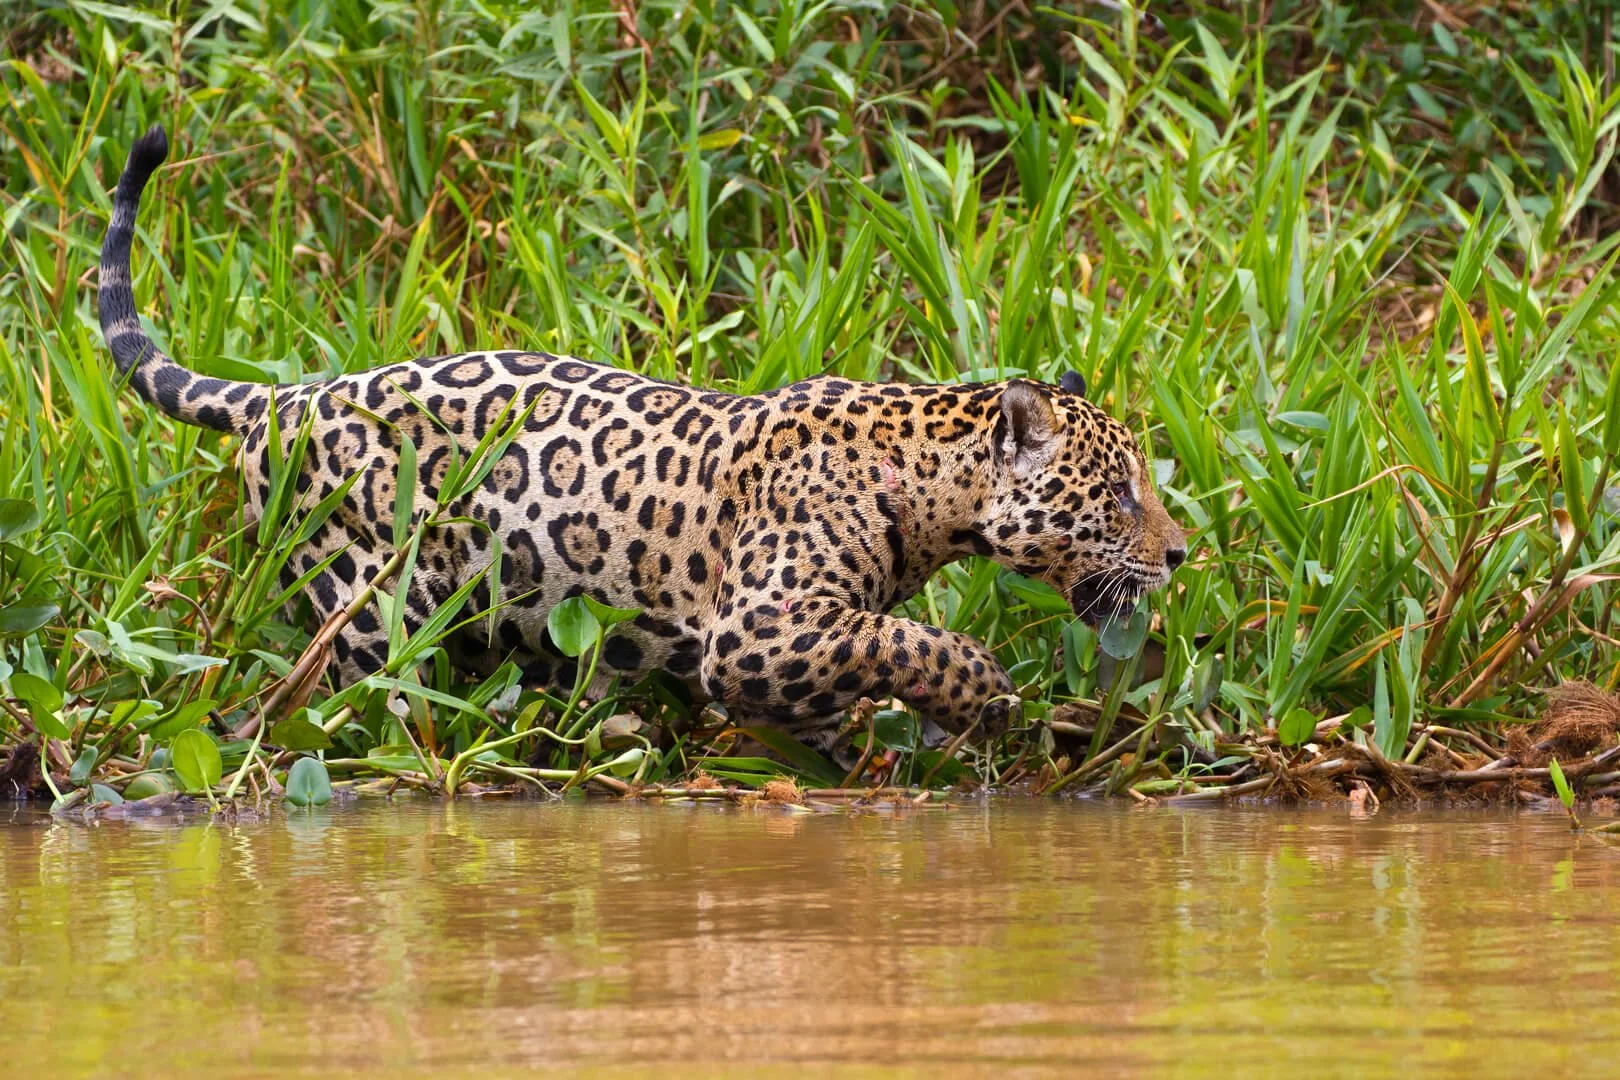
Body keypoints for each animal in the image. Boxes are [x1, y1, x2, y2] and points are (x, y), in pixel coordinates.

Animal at [98, 125, 1185, 744]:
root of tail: (279, 398)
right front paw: (987, 697)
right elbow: (906, 638)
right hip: (366, 606)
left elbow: (846, 685)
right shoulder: (761, 629)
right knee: (342, 705)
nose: (1180, 554)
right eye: (1119, 491)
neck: (931, 492)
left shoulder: (789, 662)